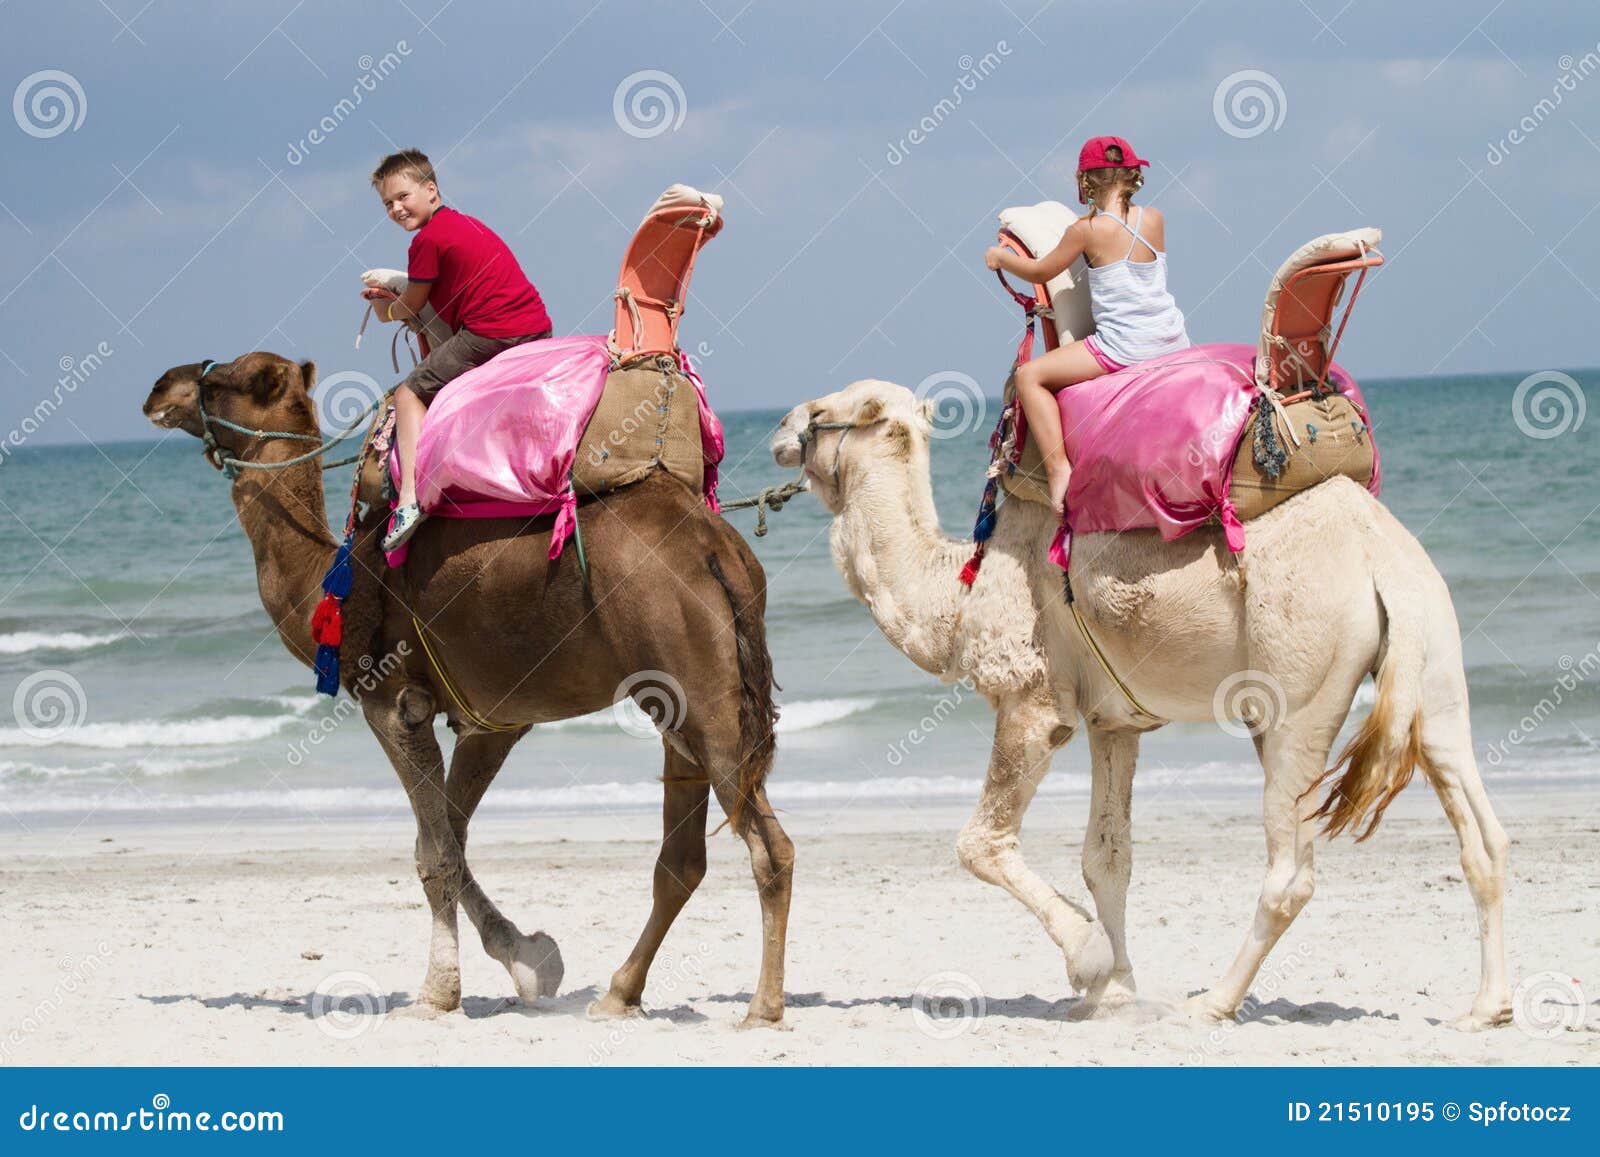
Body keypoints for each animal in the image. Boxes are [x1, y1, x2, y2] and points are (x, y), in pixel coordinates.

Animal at [142, 352, 793, 1027]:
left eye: (225, 380)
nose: (160, 387)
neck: (329, 582)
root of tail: (718, 551)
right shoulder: (492, 722)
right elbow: (447, 841)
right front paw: (531, 960)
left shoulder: (393, 702)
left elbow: (434, 855)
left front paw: (438, 994)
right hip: (675, 695)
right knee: (683, 858)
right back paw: (619, 994)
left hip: (696, 684)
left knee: (769, 846)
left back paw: (762, 1007)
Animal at [772, 379, 1512, 1030]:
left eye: (825, 412)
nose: (777, 430)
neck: (960, 587)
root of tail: (1380, 558)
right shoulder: (1114, 722)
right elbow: (1106, 859)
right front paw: (1117, 992)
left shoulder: (1034, 702)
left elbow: (980, 842)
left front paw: (1090, 961)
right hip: (1433, 660)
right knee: (1481, 830)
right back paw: (1486, 1009)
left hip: (1298, 685)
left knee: (1290, 871)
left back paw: (1214, 1003)